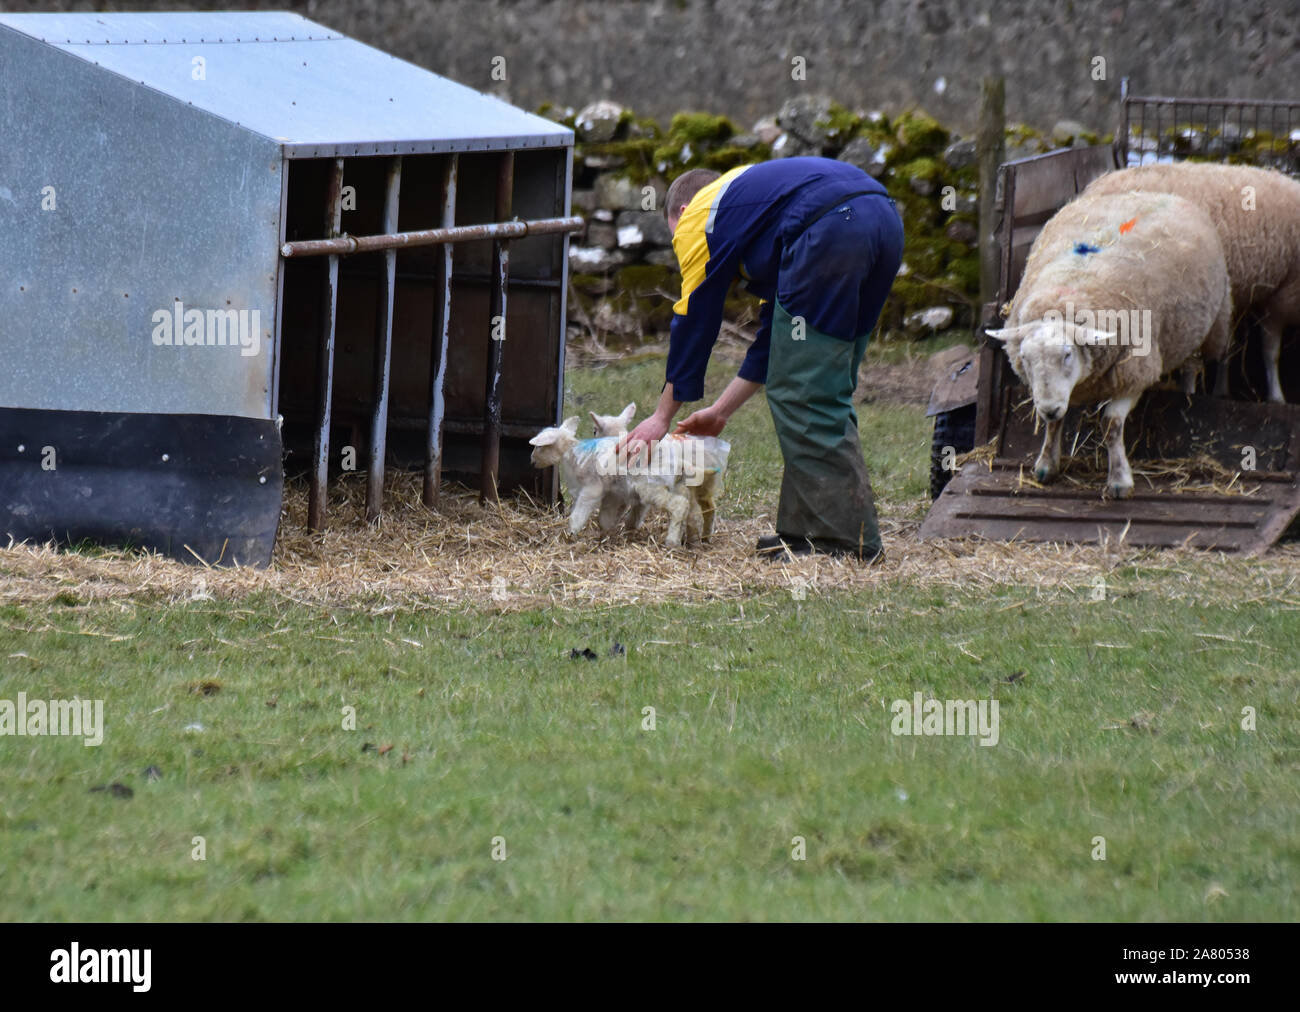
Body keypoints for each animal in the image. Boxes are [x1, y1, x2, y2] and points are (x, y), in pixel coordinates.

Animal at [987, 190, 1232, 498]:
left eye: (1067, 355)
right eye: (1026, 359)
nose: (1049, 409)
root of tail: (1153, 192)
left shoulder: (1135, 372)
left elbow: (1111, 424)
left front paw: (1119, 480)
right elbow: (1054, 424)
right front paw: (1046, 465)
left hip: (1212, 322)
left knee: (1199, 364)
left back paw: (1194, 395)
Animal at [1083, 163, 1300, 402]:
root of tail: (1094, 187)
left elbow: (1230, 346)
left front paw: (1222, 390)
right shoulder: (1283, 294)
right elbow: (1271, 352)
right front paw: (1276, 396)